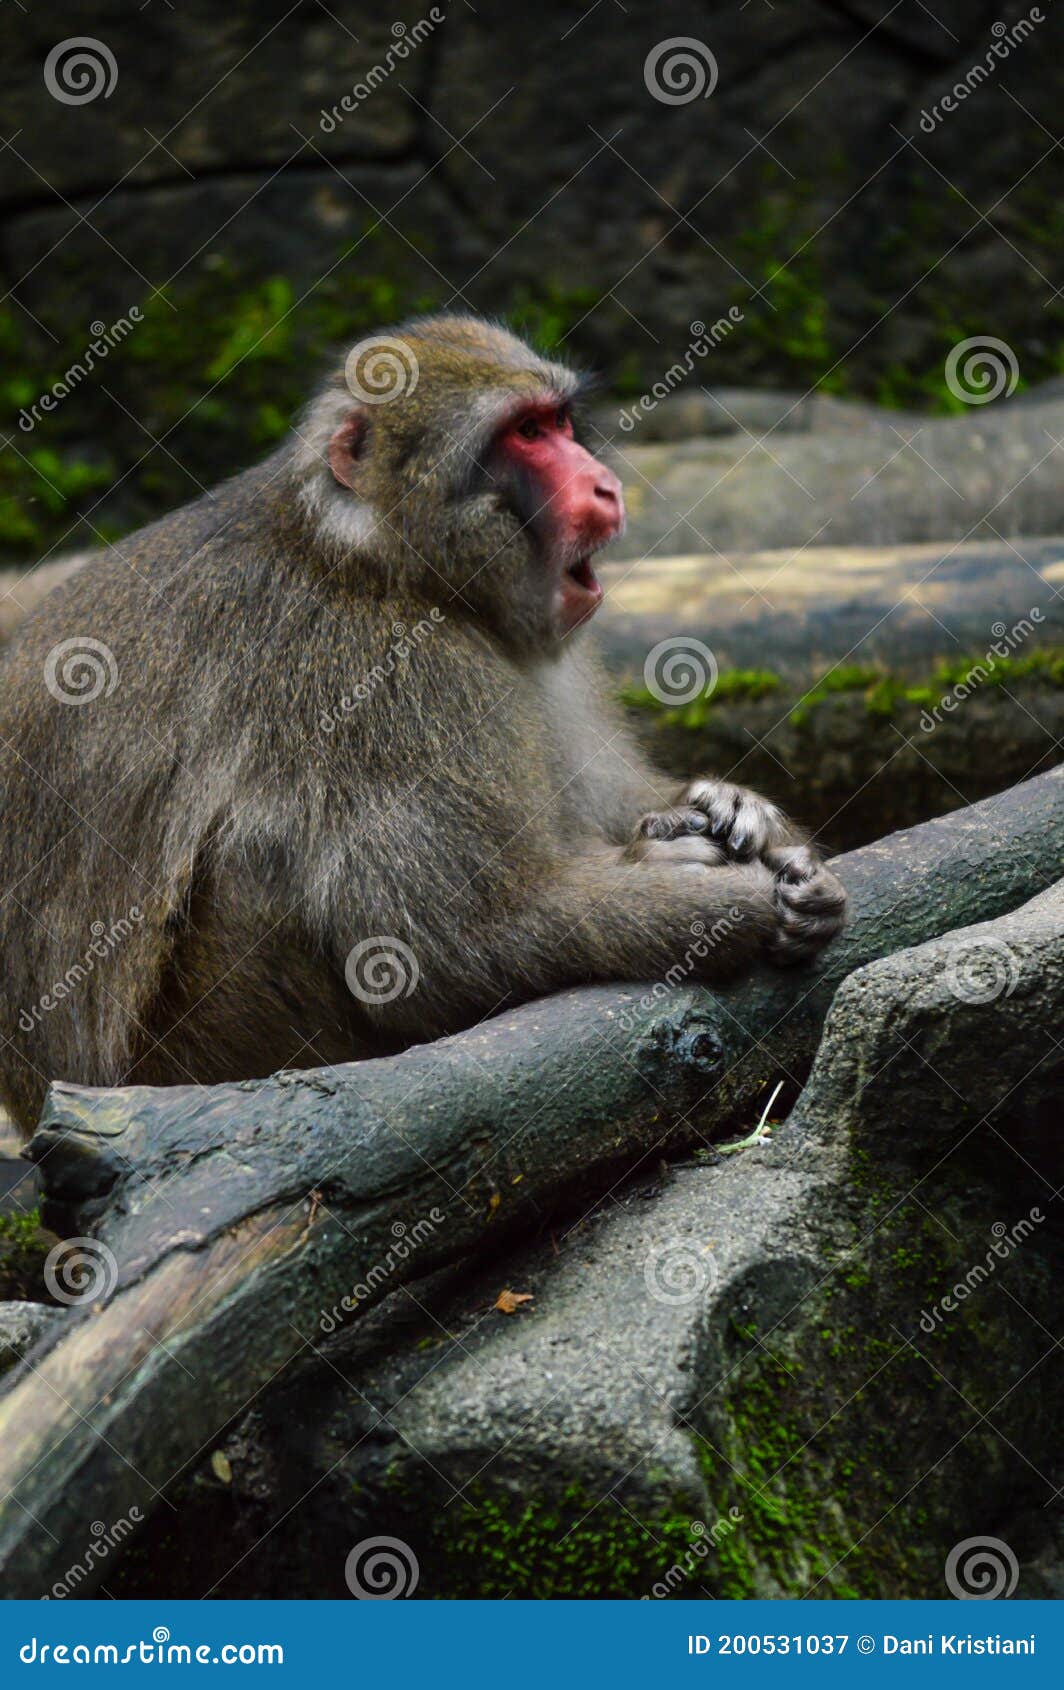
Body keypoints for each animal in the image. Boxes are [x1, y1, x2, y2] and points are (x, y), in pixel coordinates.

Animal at [0, 315, 845, 1136]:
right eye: (525, 434)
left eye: (560, 421)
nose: (606, 488)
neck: (384, 562)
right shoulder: (384, 674)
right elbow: (450, 943)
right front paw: (736, 904)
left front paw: (733, 811)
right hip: (203, 1045)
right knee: (265, 853)